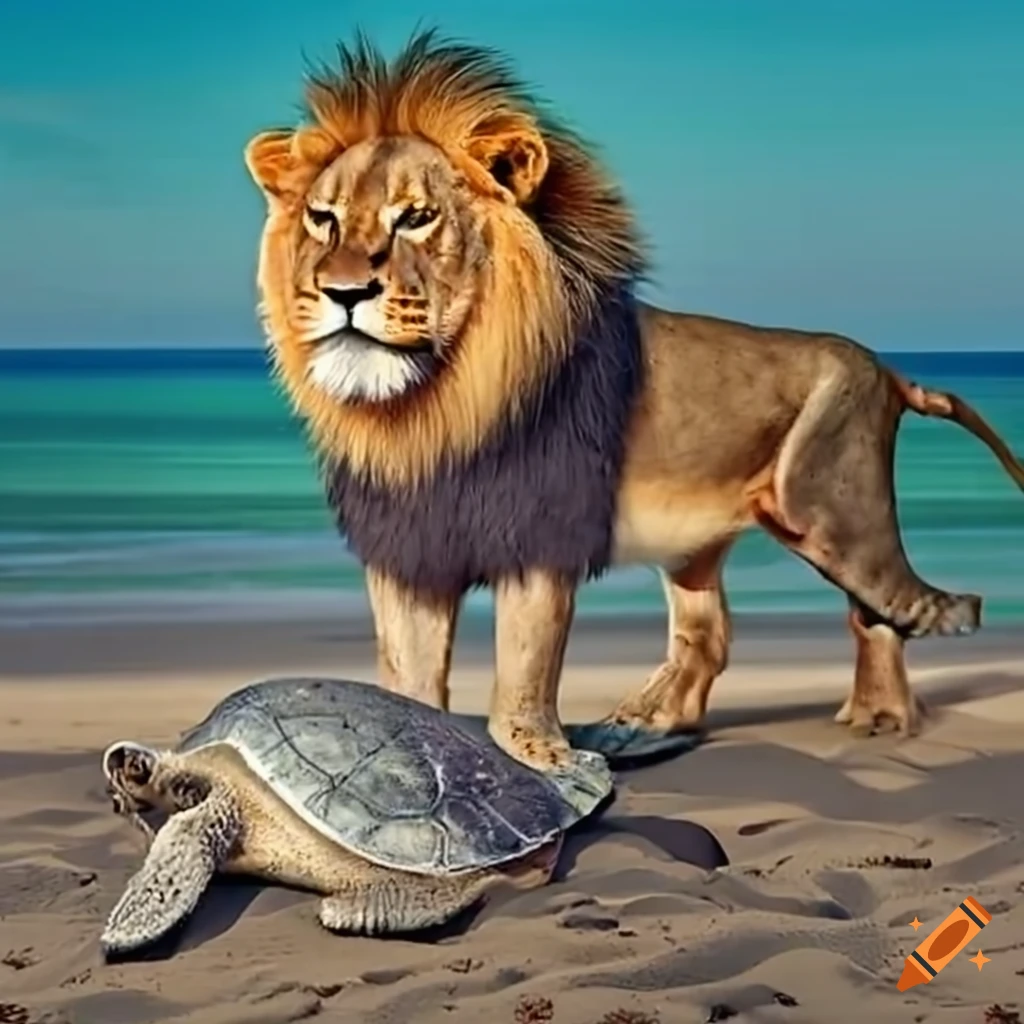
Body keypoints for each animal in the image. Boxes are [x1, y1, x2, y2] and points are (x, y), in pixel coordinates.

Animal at [243, 30, 1024, 772]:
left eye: (416, 218)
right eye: (322, 219)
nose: (343, 291)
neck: (428, 406)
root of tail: (885, 368)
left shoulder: (541, 545)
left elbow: (526, 666)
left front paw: (541, 758)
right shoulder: (407, 554)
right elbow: (409, 672)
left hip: (834, 513)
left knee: (892, 612)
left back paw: (883, 720)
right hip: (699, 548)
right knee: (711, 636)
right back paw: (644, 723)